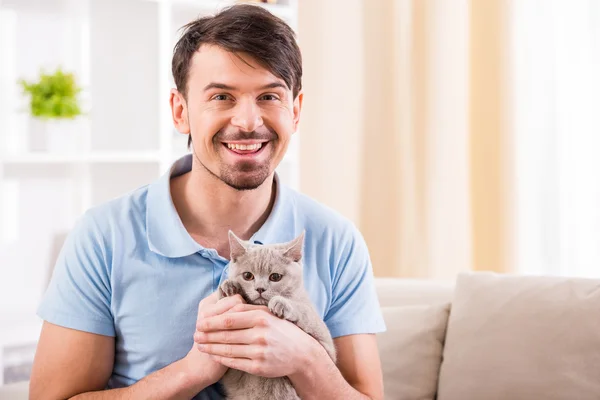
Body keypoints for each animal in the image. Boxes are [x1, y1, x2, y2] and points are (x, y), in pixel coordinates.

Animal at [218, 231, 338, 400]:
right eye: (247, 276)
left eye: (275, 277)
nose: (260, 288)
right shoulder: (232, 372)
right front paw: (229, 286)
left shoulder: (327, 348)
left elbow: (304, 311)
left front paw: (282, 303)